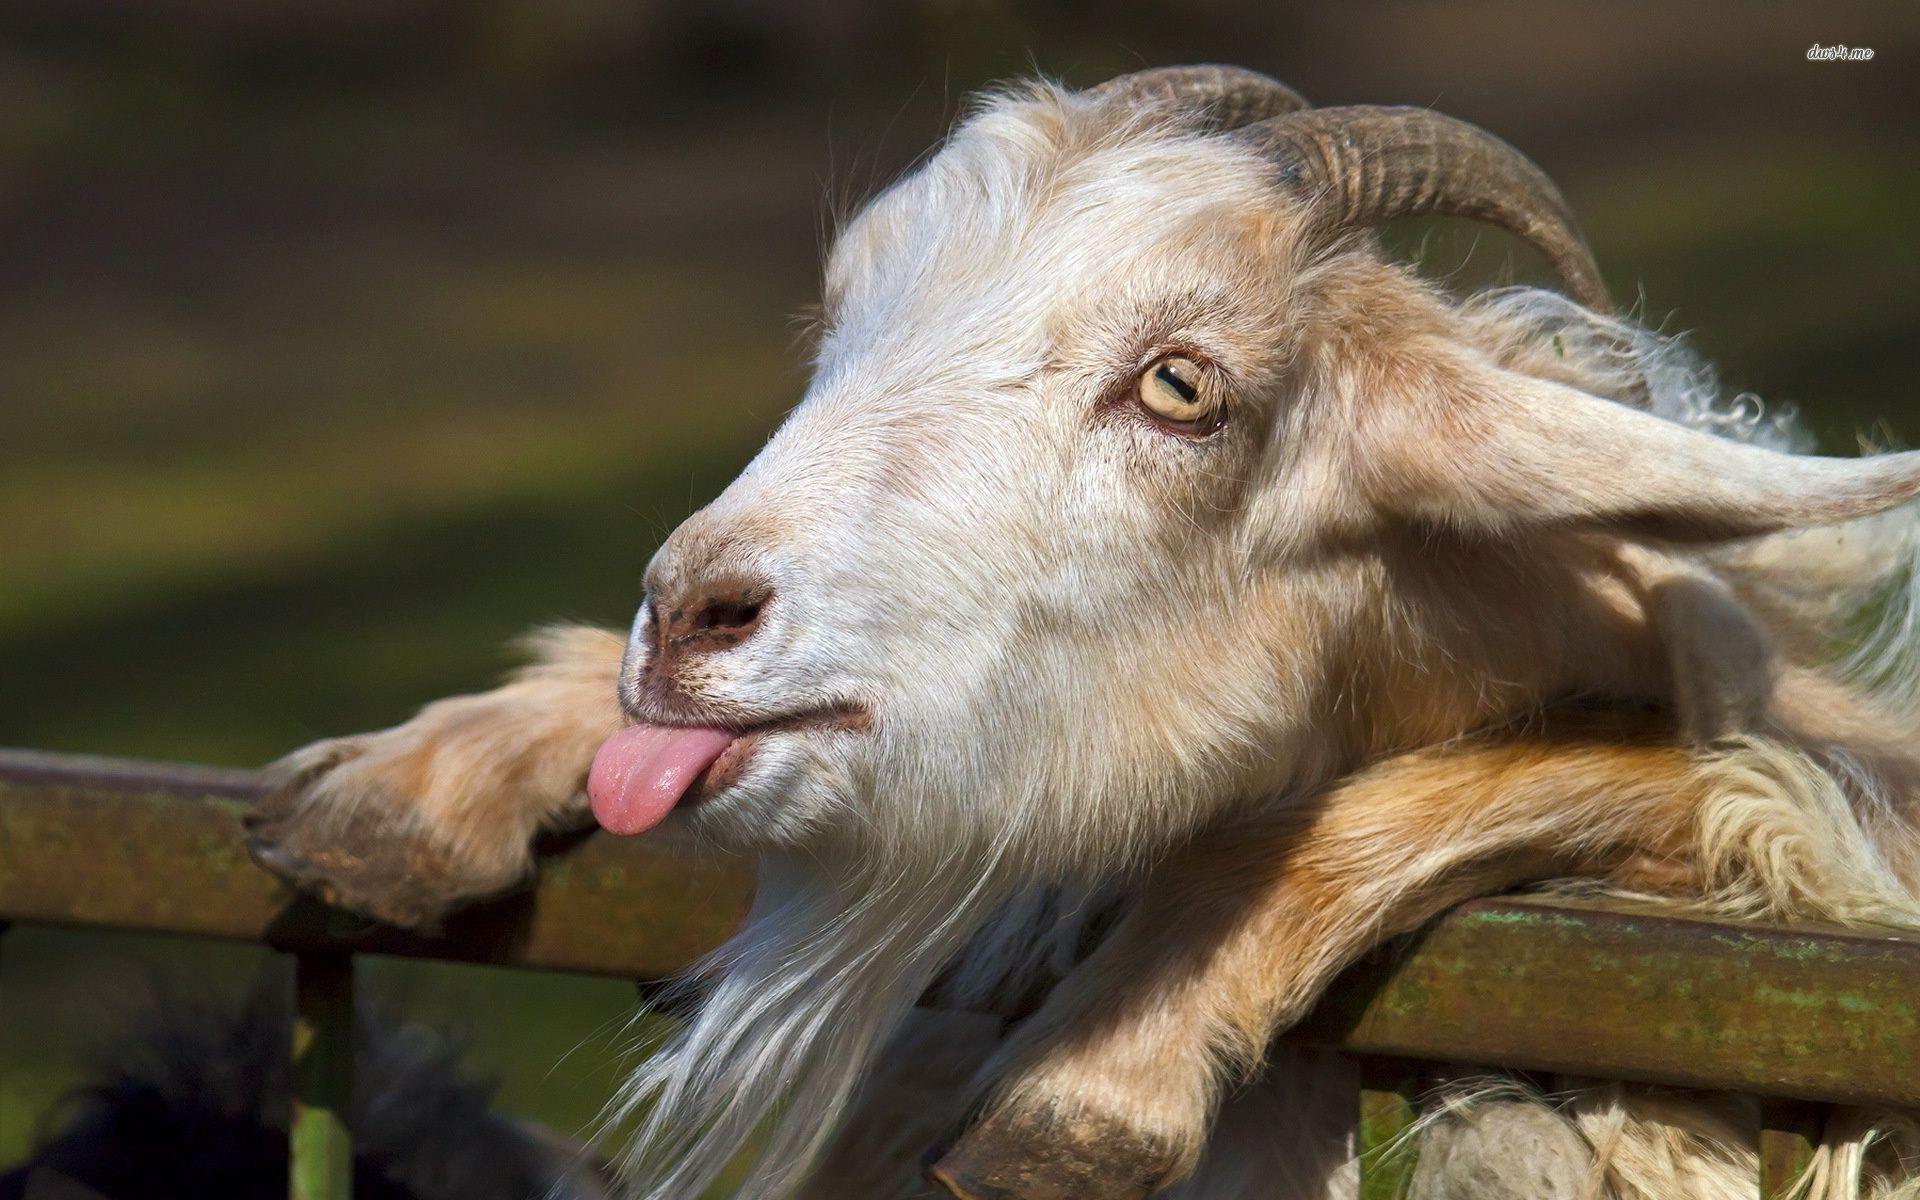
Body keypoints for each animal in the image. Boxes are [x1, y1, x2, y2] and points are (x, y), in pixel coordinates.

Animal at [247, 65, 1920, 1199]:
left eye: (1181, 385)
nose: (687, 619)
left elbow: (1641, 770)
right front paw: (408, 788)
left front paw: (1092, 1083)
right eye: (841, 326)